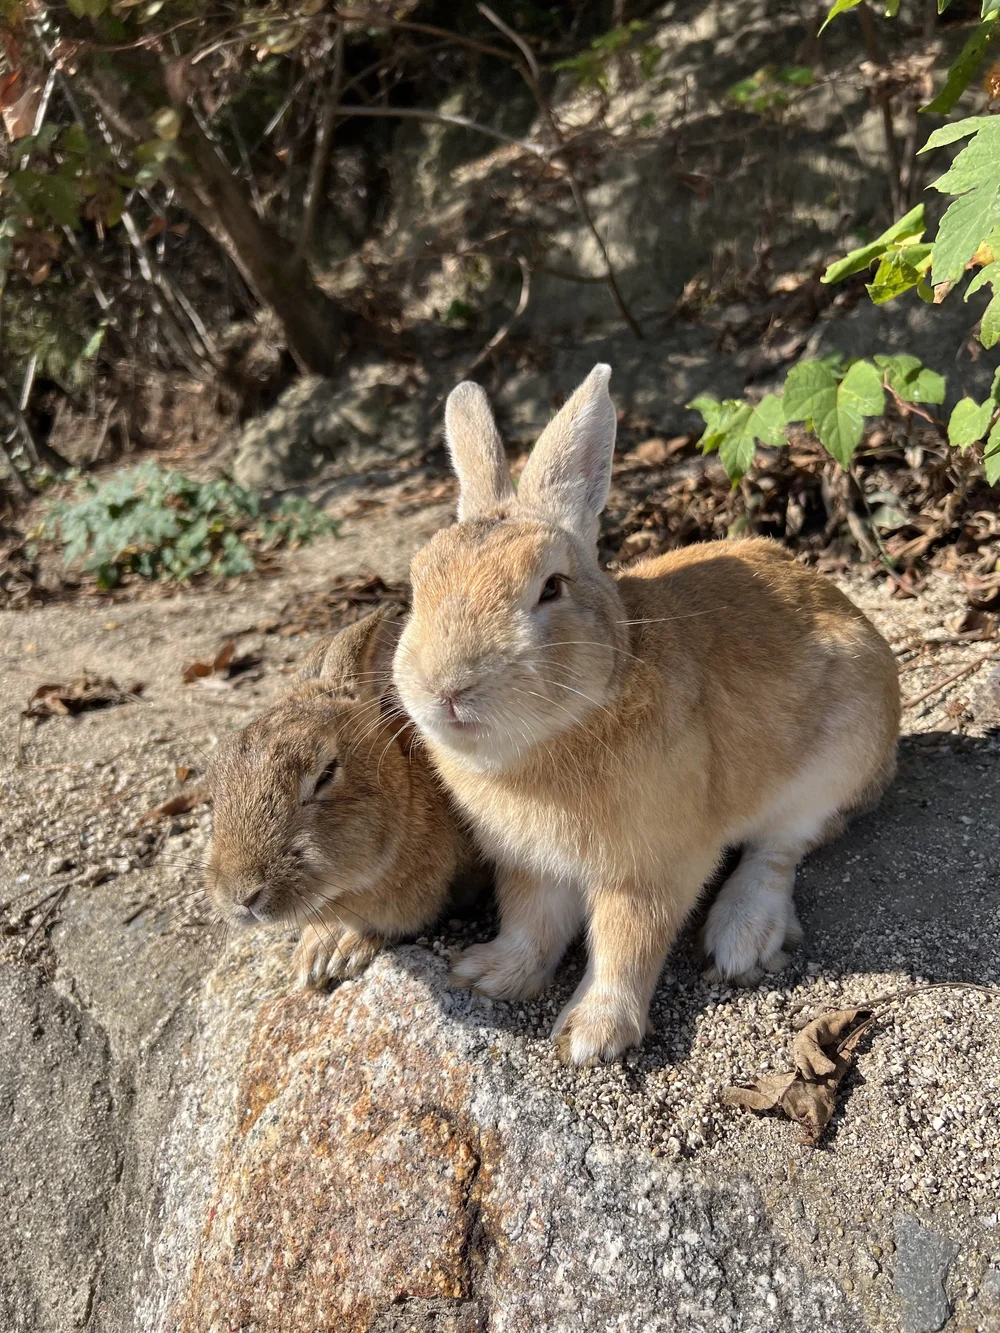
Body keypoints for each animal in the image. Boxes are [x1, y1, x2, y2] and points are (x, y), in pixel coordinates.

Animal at [391, 364, 900, 1066]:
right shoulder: (530, 864)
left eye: (551, 587)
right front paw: (488, 974)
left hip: (836, 760)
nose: (447, 687)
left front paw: (591, 1036)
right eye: (418, 584)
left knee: (783, 845)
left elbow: (625, 942)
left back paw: (742, 934)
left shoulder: (651, 866)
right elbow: (530, 921)